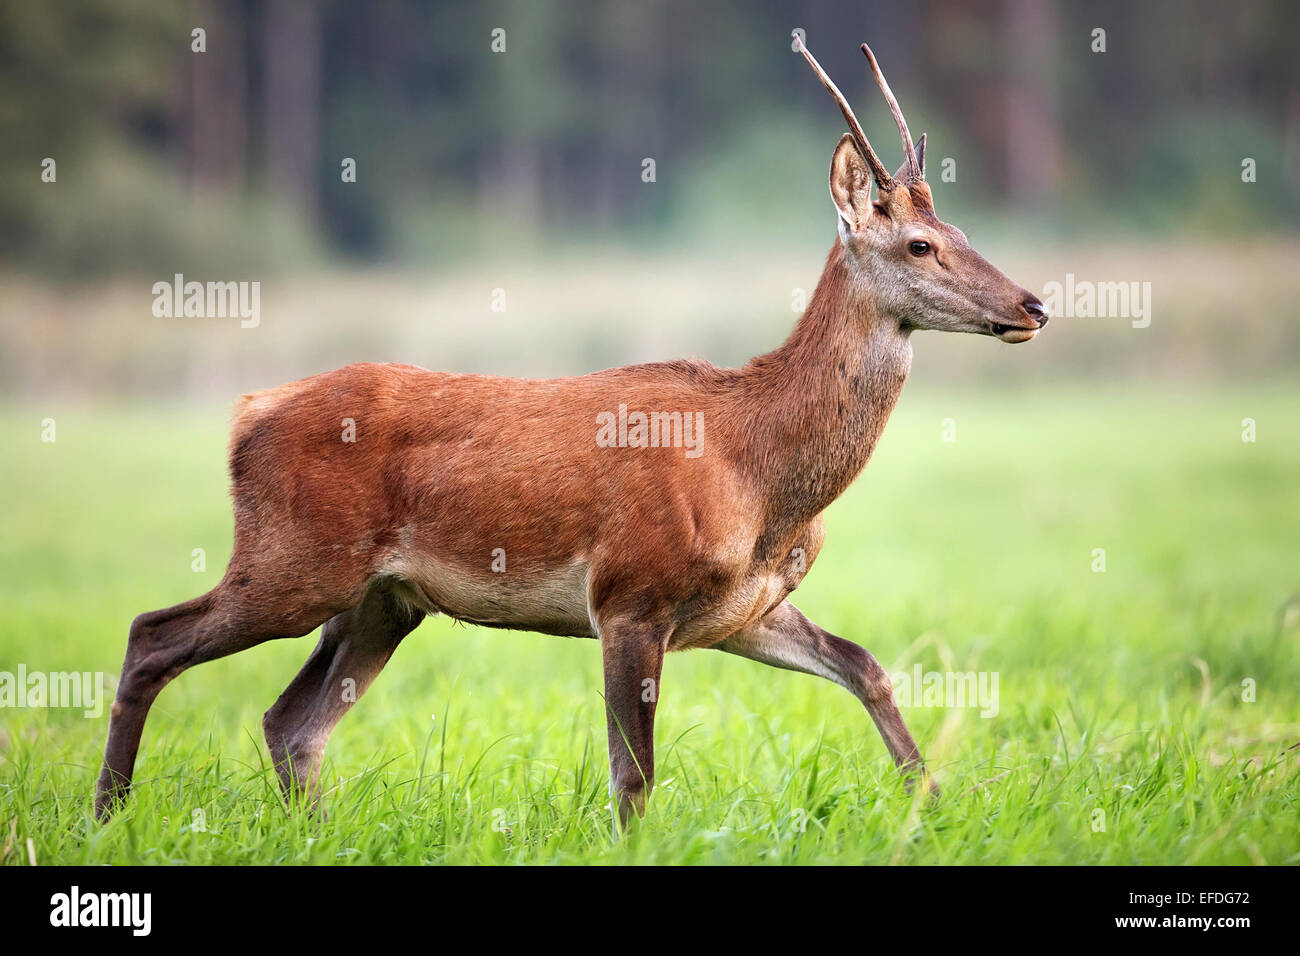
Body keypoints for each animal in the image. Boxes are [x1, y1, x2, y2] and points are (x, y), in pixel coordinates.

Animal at [94, 38, 1047, 831]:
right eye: (920, 244)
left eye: (961, 229)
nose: (1033, 304)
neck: (759, 473)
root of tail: (247, 411)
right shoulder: (630, 592)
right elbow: (635, 776)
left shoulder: (742, 611)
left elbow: (867, 665)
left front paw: (934, 809)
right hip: (294, 558)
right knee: (152, 636)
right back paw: (107, 815)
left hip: (381, 599)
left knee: (291, 722)